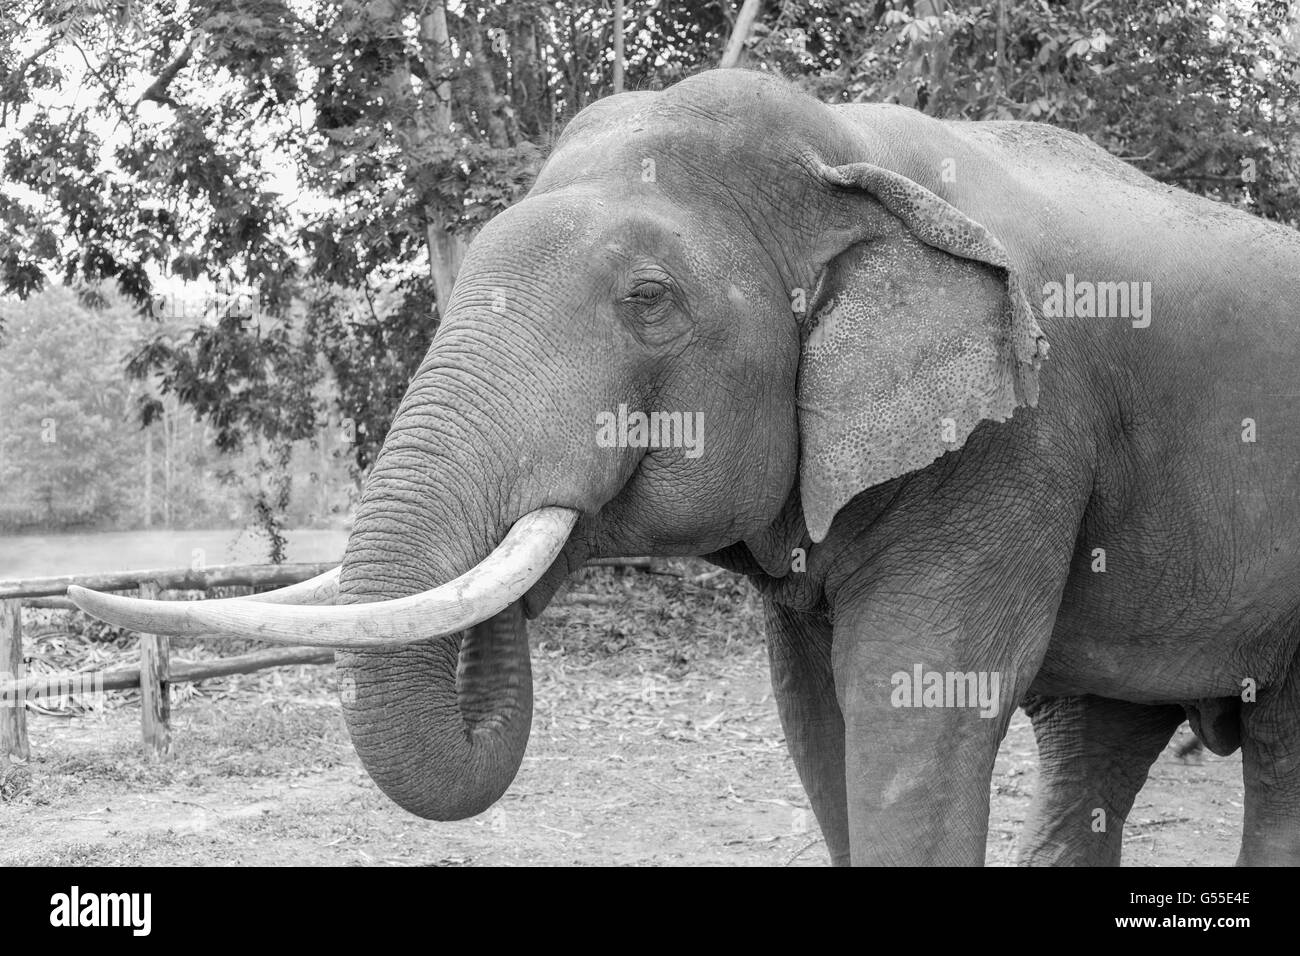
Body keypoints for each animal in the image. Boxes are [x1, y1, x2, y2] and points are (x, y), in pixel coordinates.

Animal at [71, 69, 1300, 866]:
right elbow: (815, 719)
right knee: (1097, 748)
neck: (848, 152)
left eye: (649, 299)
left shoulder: (1015, 443)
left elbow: (915, 710)